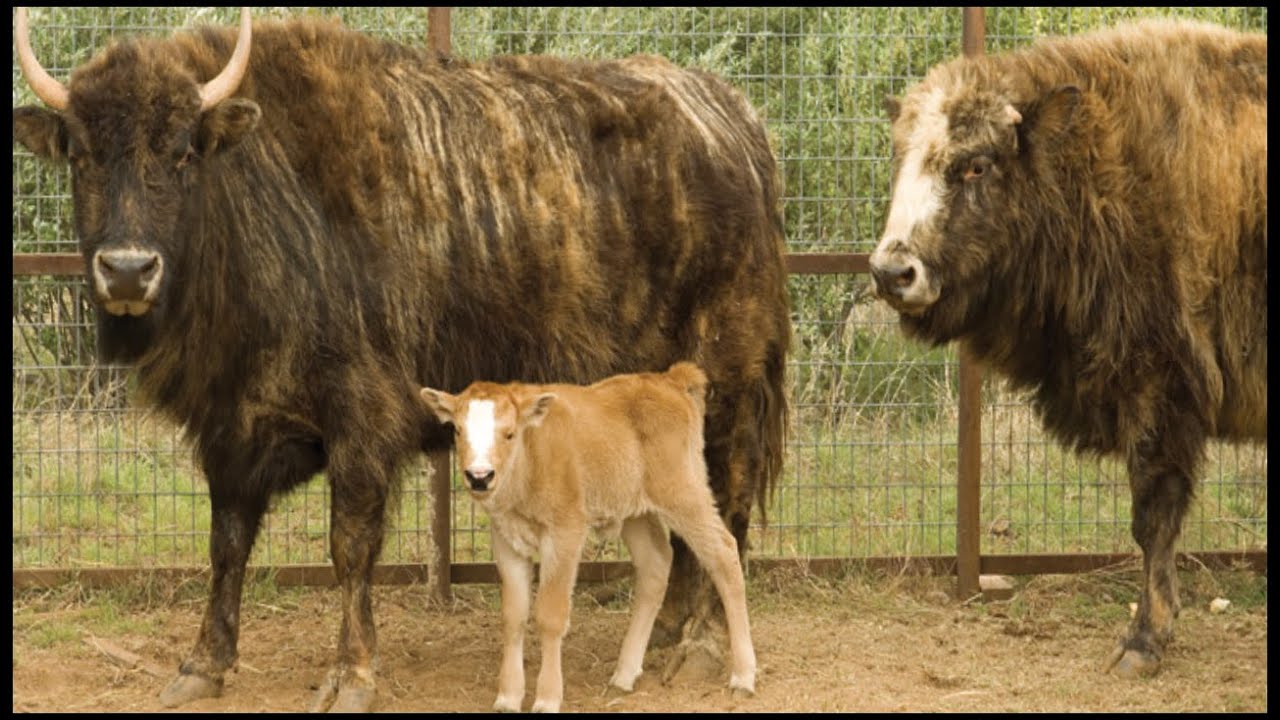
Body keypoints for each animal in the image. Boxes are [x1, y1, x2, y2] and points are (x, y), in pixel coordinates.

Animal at [419, 362, 756, 712]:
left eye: (509, 433)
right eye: (458, 431)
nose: (480, 476)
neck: (531, 454)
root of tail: (670, 381)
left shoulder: (565, 534)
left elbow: (550, 615)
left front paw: (547, 698)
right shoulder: (507, 541)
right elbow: (513, 616)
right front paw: (508, 698)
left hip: (683, 493)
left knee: (724, 553)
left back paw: (743, 678)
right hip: (636, 514)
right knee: (656, 563)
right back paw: (624, 674)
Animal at [869, 19, 1266, 678]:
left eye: (978, 166)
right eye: (902, 162)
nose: (893, 272)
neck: (1092, 161)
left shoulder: (1158, 387)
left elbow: (1152, 519)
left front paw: (1143, 642)